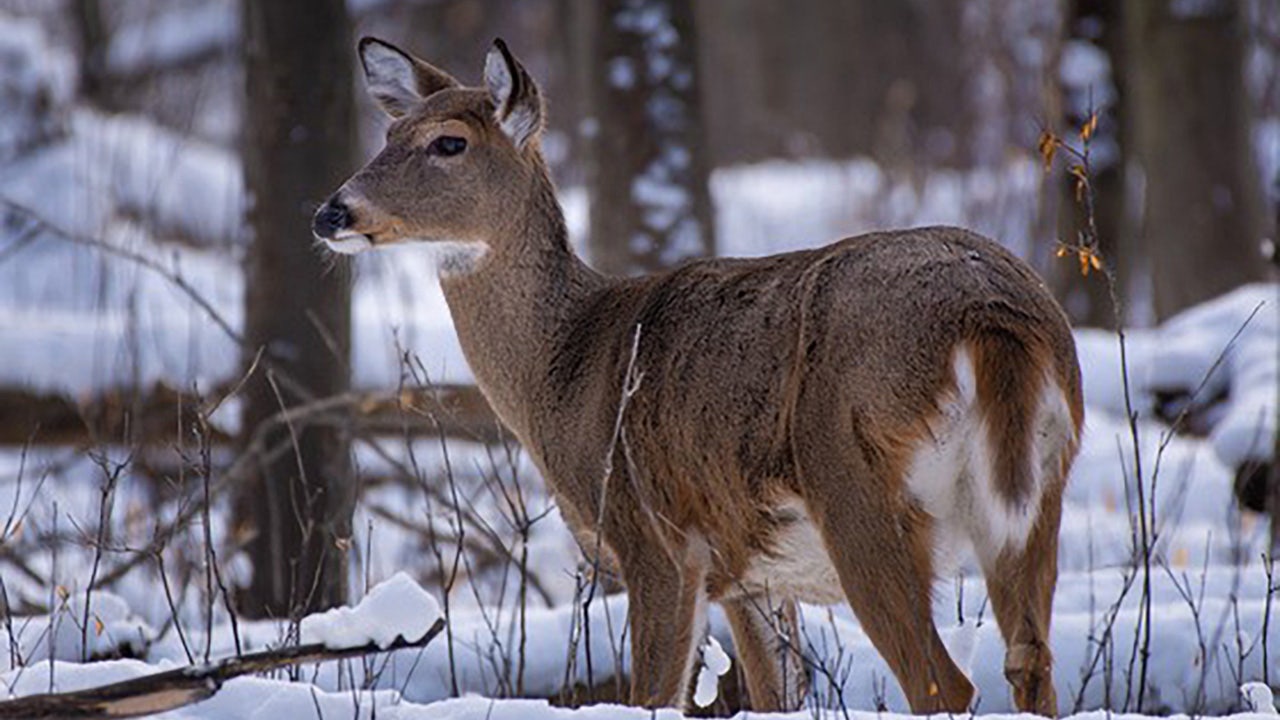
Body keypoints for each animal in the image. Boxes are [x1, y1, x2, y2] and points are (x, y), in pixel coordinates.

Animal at [312, 37, 1084, 716]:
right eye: (389, 131)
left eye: (449, 143)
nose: (331, 211)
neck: (565, 370)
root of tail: (989, 314)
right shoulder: (752, 573)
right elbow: (777, 697)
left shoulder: (654, 538)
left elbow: (652, 696)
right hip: (1041, 488)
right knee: (1032, 664)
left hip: (858, 484)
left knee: (943, 684)